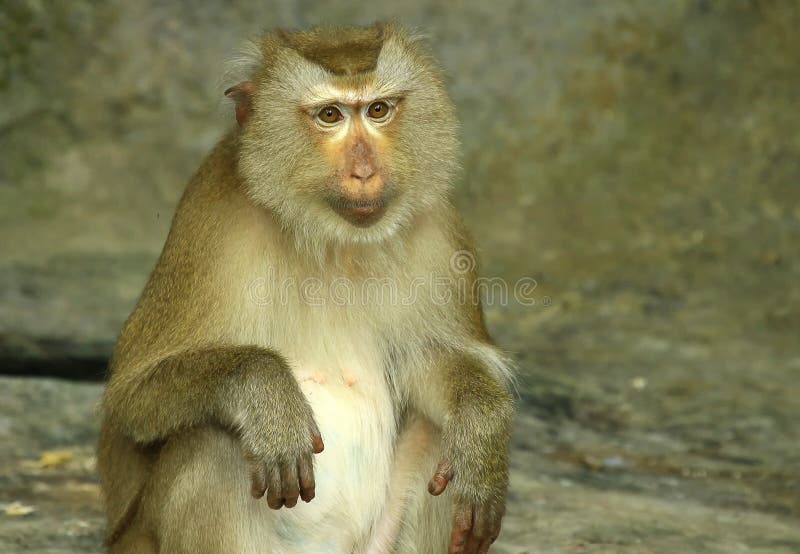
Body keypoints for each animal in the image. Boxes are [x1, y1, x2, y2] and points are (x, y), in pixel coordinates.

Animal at [97, 23, 514, 554]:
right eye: (330, 115)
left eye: (378, 109)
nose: (365, 172)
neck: (331, 240)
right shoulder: (212, 216)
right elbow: (131, 397)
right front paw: (264, 390)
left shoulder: (439, 230)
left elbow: (434, 358)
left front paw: (482, 432)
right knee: (214, 444)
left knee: (441, 432)